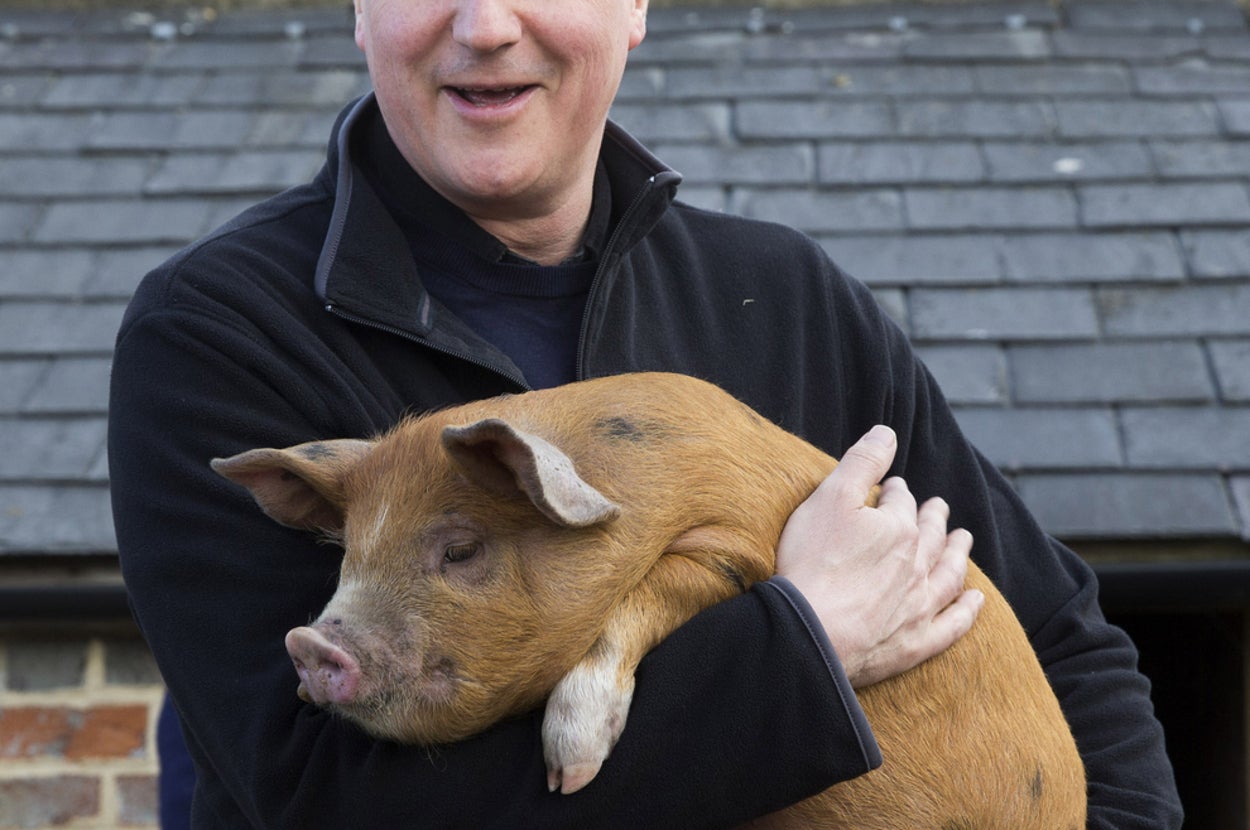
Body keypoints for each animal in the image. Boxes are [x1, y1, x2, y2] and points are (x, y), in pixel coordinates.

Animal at [212, 371, 1085, 828]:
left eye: (460, 549)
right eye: (350, 553)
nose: (309, 644)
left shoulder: (735, 546)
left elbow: (653, 591)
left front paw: (569, 776)